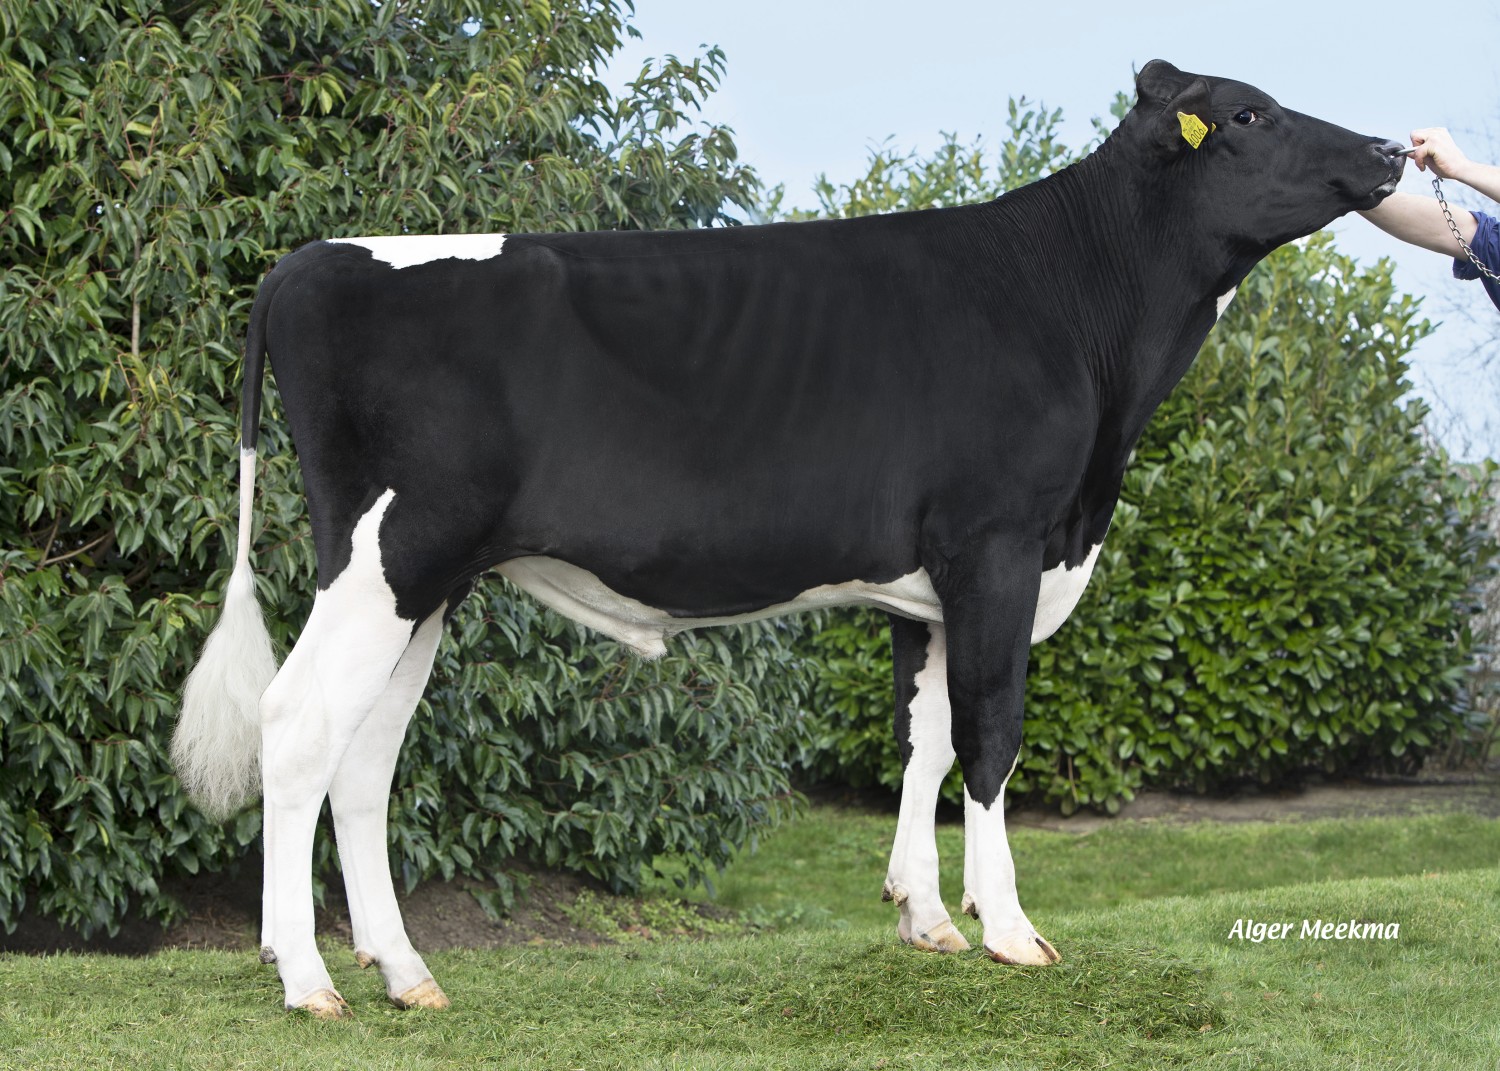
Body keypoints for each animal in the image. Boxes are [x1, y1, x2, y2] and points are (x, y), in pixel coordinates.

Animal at [172, 60, 1406, 1018]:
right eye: (1249, 114)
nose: (1391, 148)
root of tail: (311, 258)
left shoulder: (931, 584)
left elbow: (925, 739)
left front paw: (925, 919)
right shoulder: (1000, 544)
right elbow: (991, 735)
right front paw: (1009, 930)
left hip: (424, 581)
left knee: (364, 755)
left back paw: (405, 972)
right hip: (384, 554)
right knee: (297, 726)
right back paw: (306, 980)